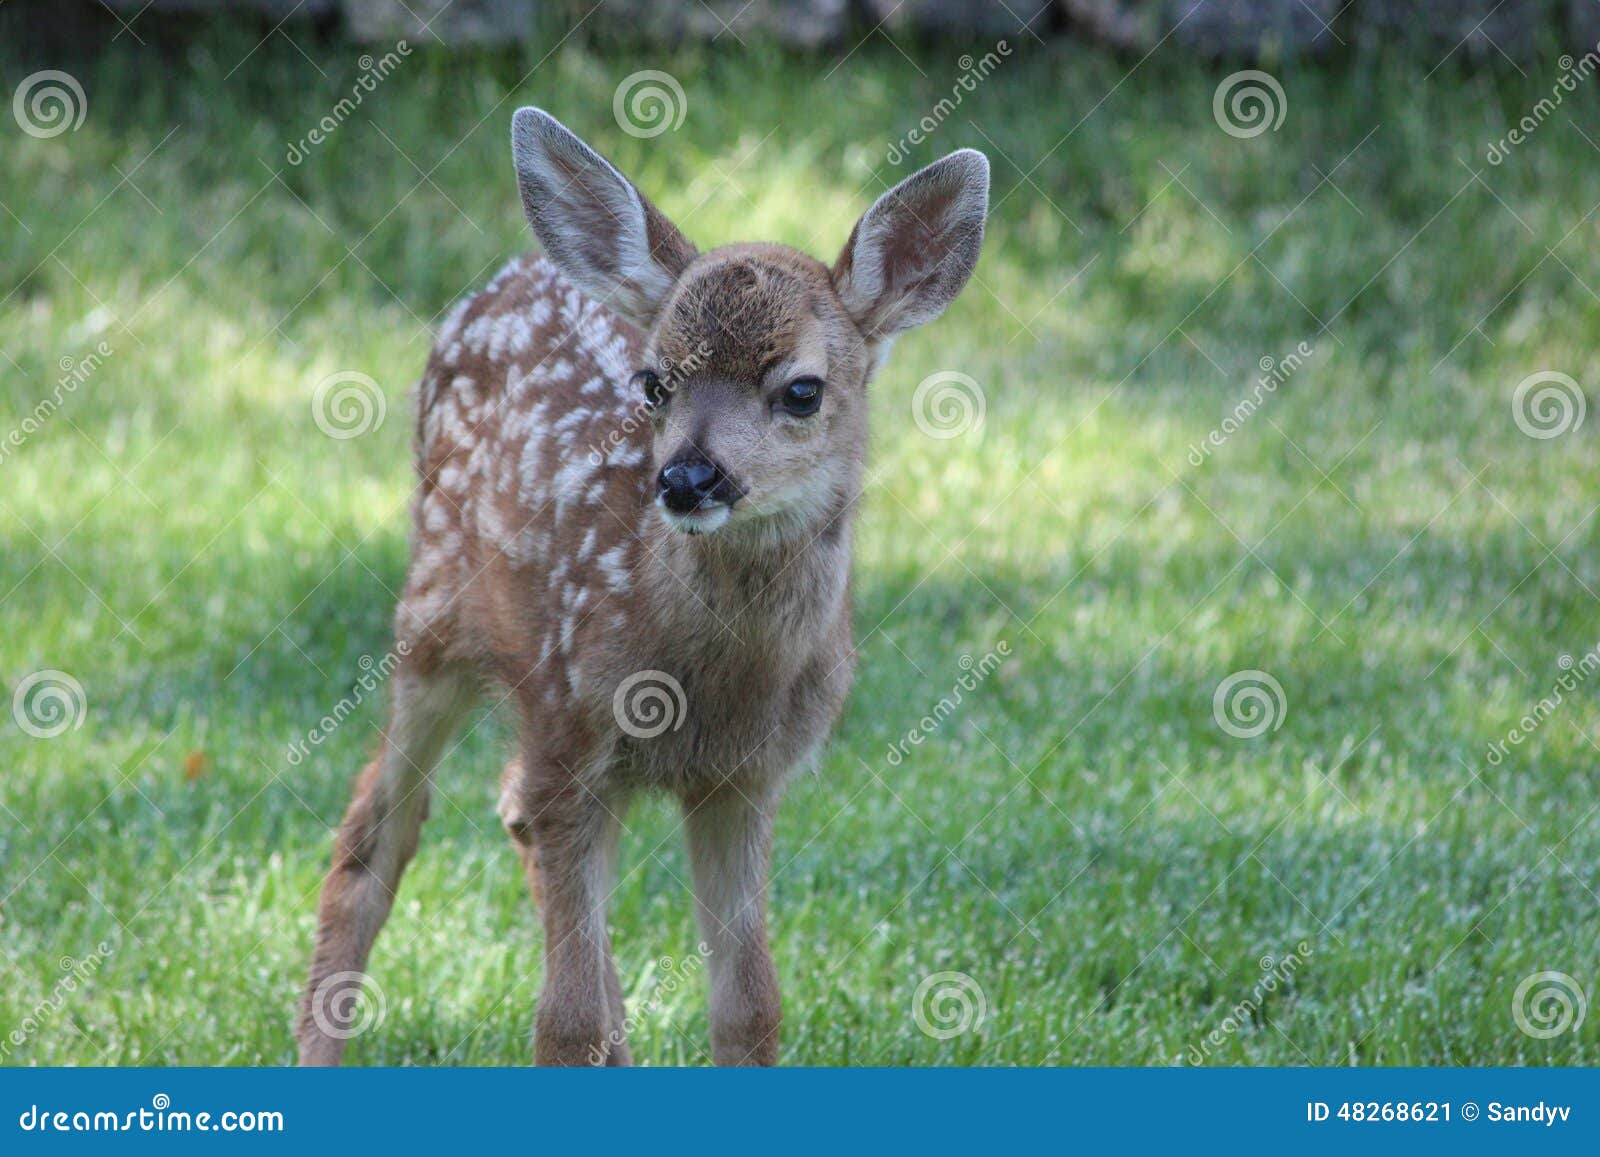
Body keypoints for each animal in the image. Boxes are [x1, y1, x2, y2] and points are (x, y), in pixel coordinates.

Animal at [295, 107, 989, 1067]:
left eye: (802, 390)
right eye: (656, 382)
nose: (688, 478)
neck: (707, 683)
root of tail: (509, 272)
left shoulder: (746, 777)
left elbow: (750, 1005)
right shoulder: (570, 731)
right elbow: (565, 1020)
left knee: (506, 811)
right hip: (433, 622)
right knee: (374, 837)